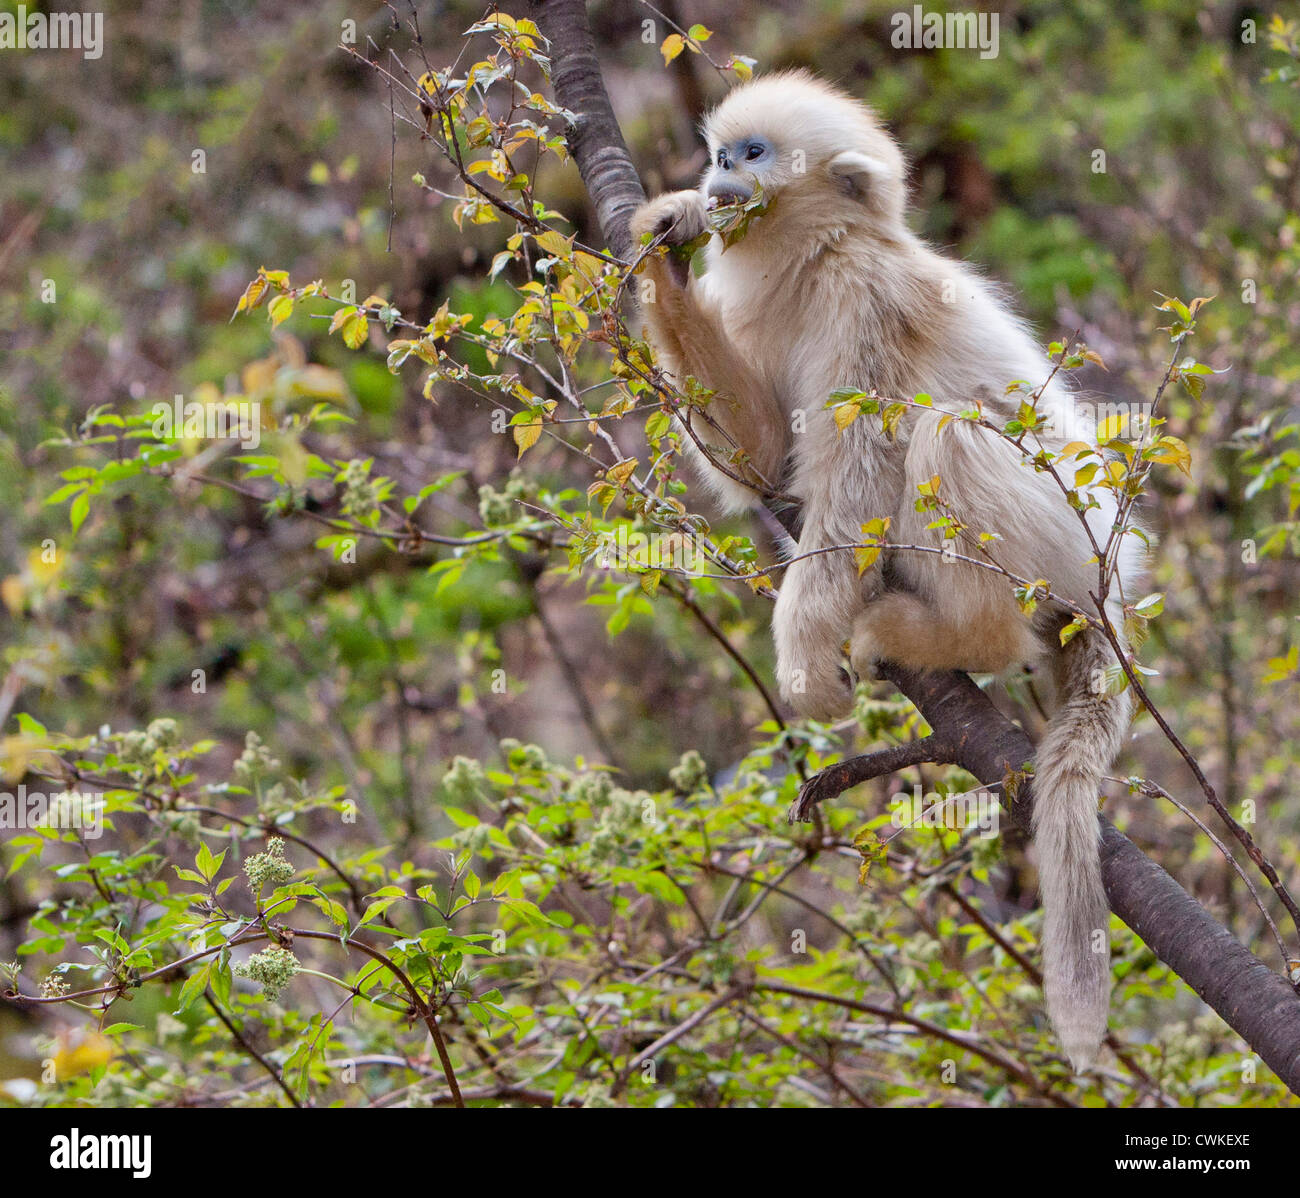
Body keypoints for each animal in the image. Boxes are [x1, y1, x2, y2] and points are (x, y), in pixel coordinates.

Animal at [629, 70, 1143, 1072]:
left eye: (752, 154)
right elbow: (760, 458)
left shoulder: (864, 299)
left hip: (1053, 543)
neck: (812, 258)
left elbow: (854, 471)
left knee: (945, 432)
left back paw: (954, 634)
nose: (715, 179)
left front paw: (801, 659)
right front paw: (665, 240)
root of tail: (1104, 588)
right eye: (720, 153)